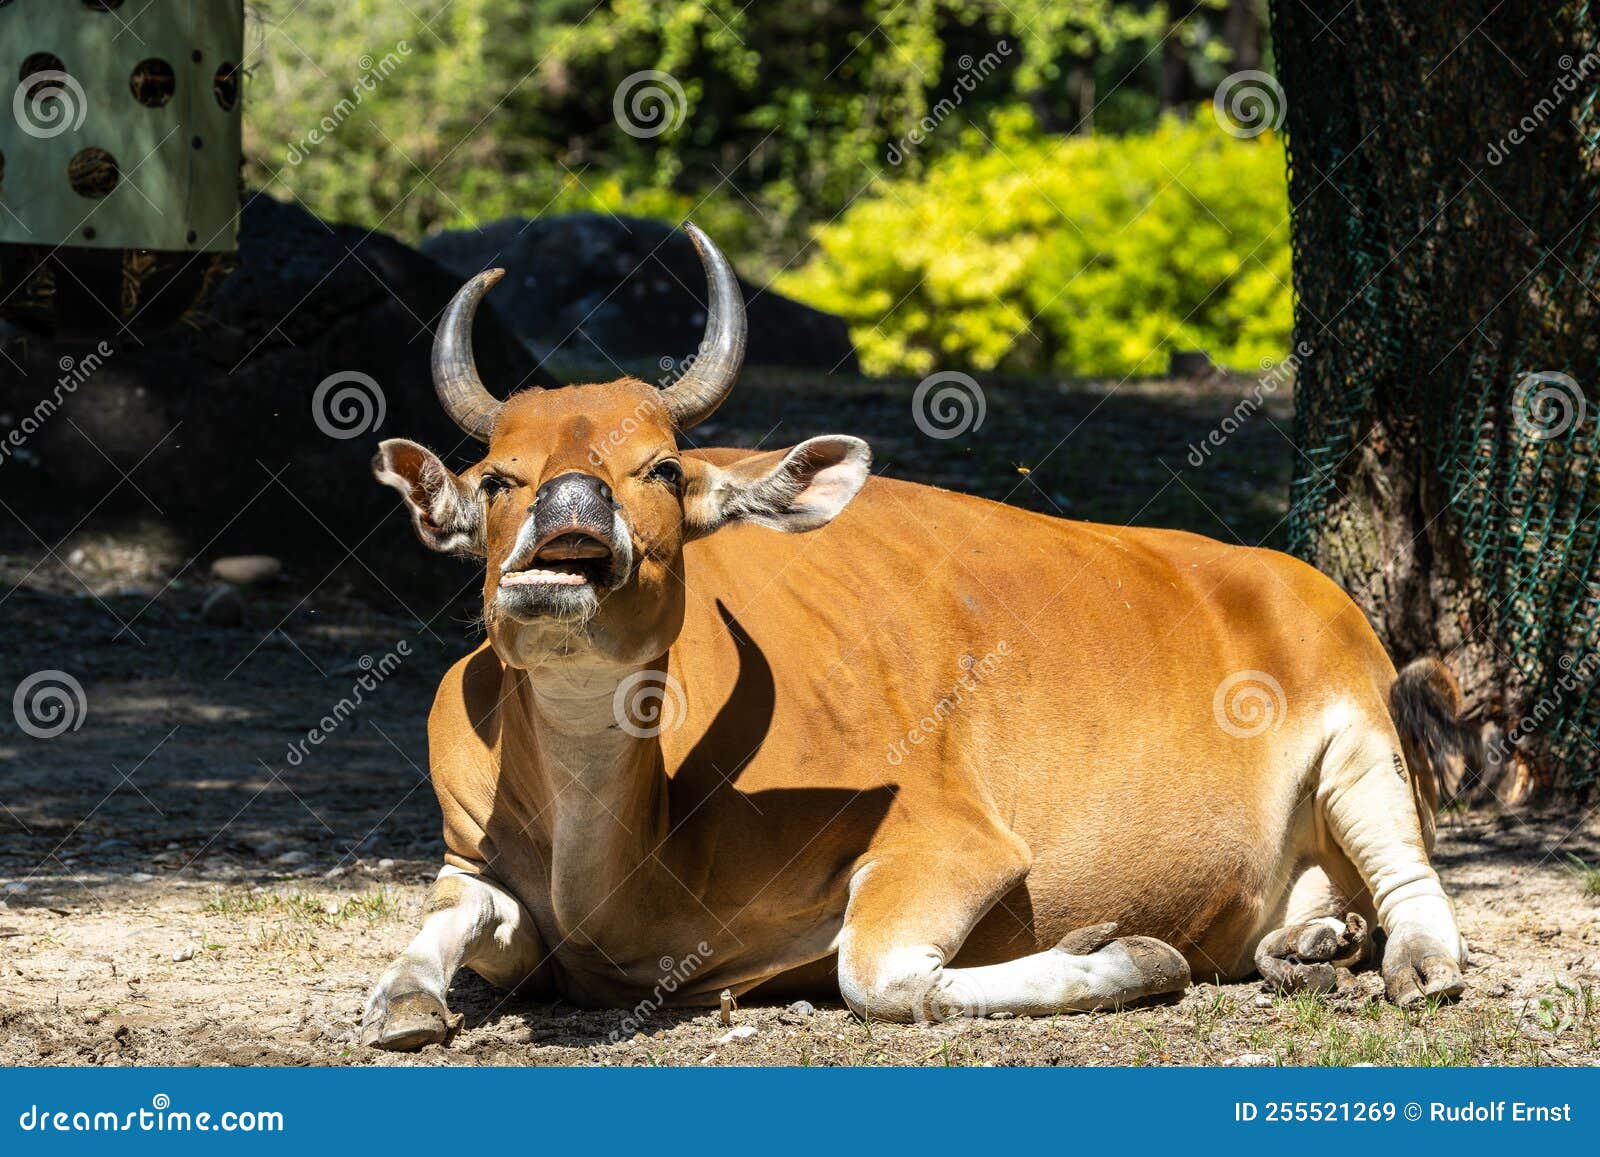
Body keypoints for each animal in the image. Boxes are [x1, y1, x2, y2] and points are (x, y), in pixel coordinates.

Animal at [360, 224, 1469, 1050]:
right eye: (497, 478)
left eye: (662, 468)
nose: (571, 519)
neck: (637, 842)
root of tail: (1292, 577)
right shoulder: (470, 850)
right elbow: (446, 919)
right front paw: (402, 996)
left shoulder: (951, 841)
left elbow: (879, 974)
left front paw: (1130, 954)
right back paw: (1314, 943)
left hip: (1367, 734)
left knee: (1414, 878)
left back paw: (1414, 959)